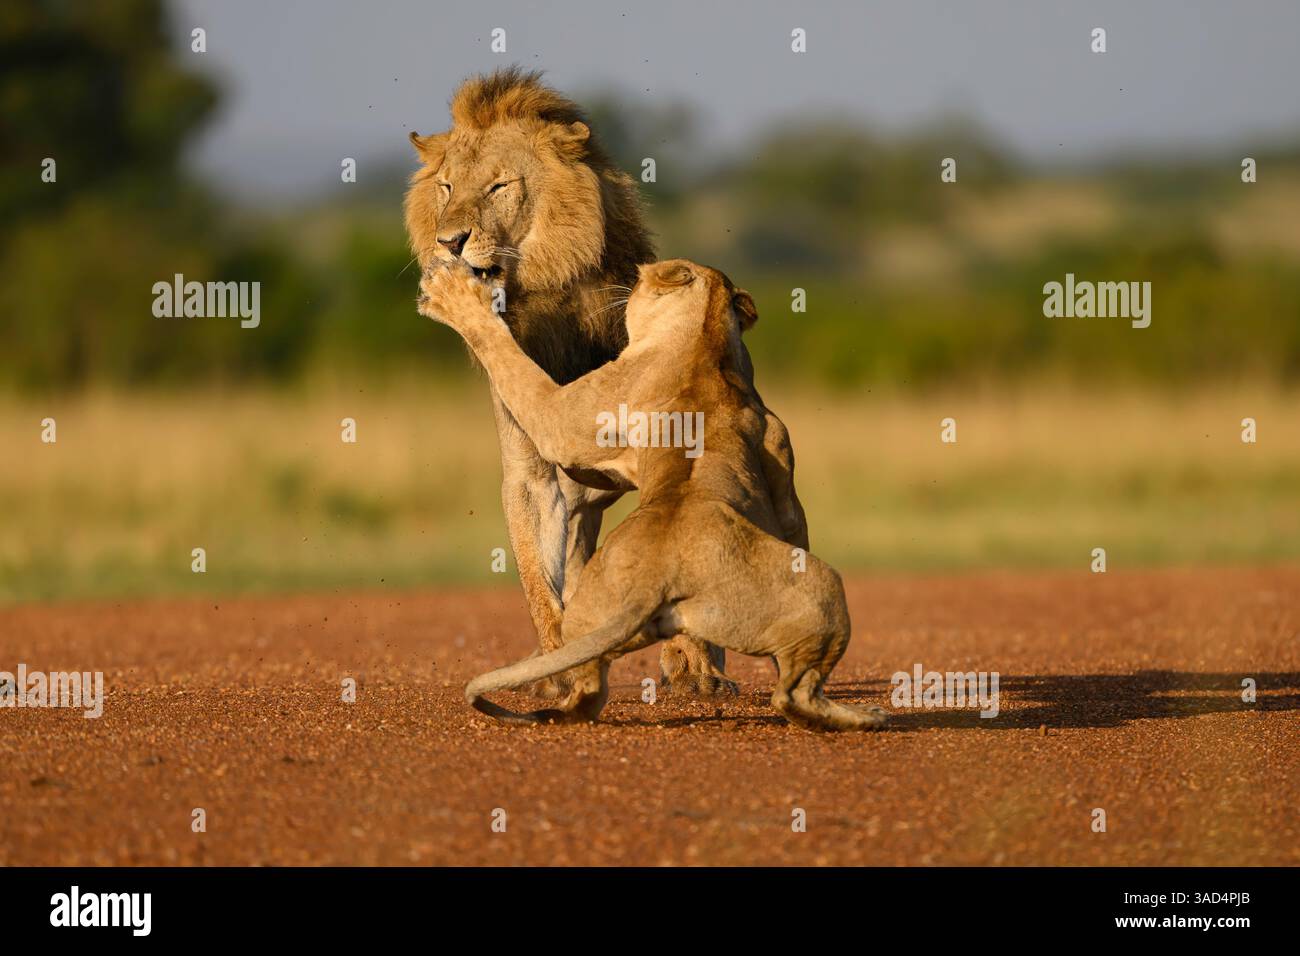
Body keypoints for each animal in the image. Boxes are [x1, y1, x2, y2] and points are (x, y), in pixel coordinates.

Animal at [404, 68, 737, 696]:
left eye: (499, 186)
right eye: (446, 188)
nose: (449, 242)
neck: (546, 302)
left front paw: (694, 661)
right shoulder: (531, 472)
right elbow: (540, 575)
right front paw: (556, 667)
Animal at [419, 257, 886, 732]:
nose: (624, 288)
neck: (704, 341)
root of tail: (654, 581)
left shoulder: (563, 417)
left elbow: (513, 364)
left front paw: (454, 294)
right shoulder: (778, 451)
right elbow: (792, 518)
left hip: (824, 582)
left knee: (792, 694)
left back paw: (867, 715)